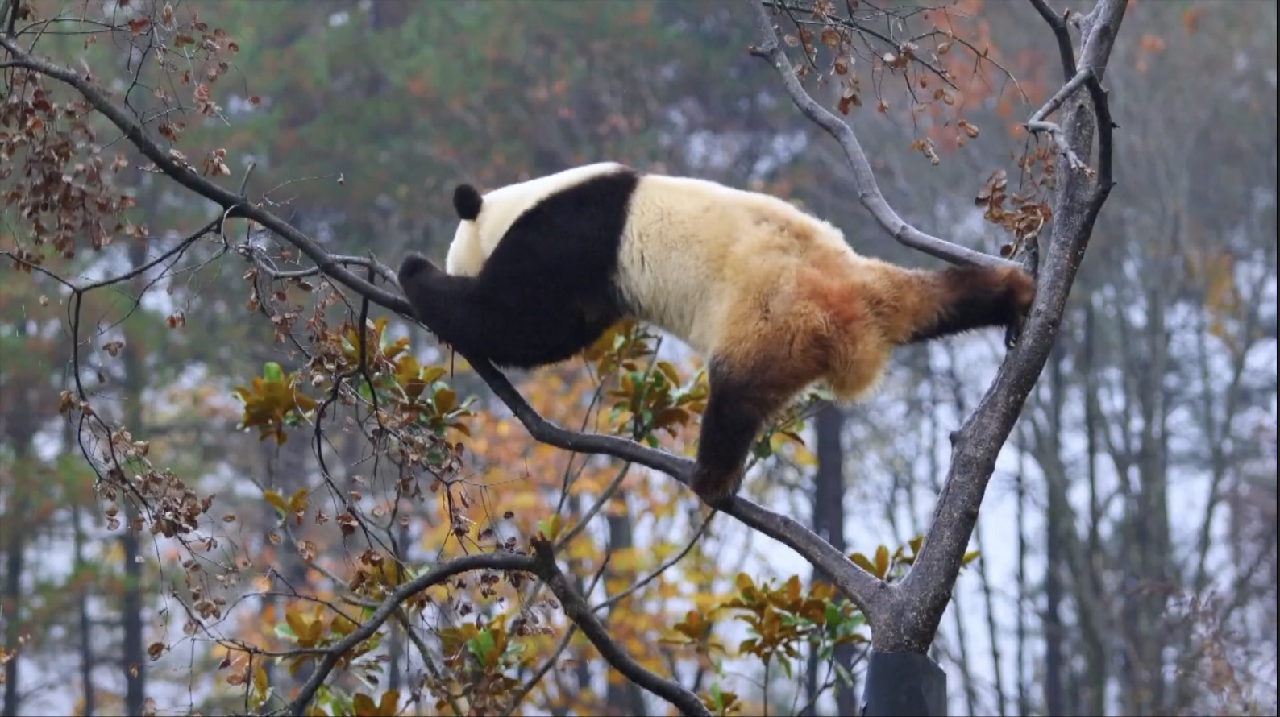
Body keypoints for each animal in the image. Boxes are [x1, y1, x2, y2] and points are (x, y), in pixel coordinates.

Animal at [397, 162, 1035, 507]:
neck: (516, 204)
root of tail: (849, 317)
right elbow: (556, 332)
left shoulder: (569, 239)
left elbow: (522, 322)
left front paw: (415, 274)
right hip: (881, 286)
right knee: (942, 296)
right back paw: (1014, 299)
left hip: (767, 317)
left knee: (737, 393)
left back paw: (710, 478)